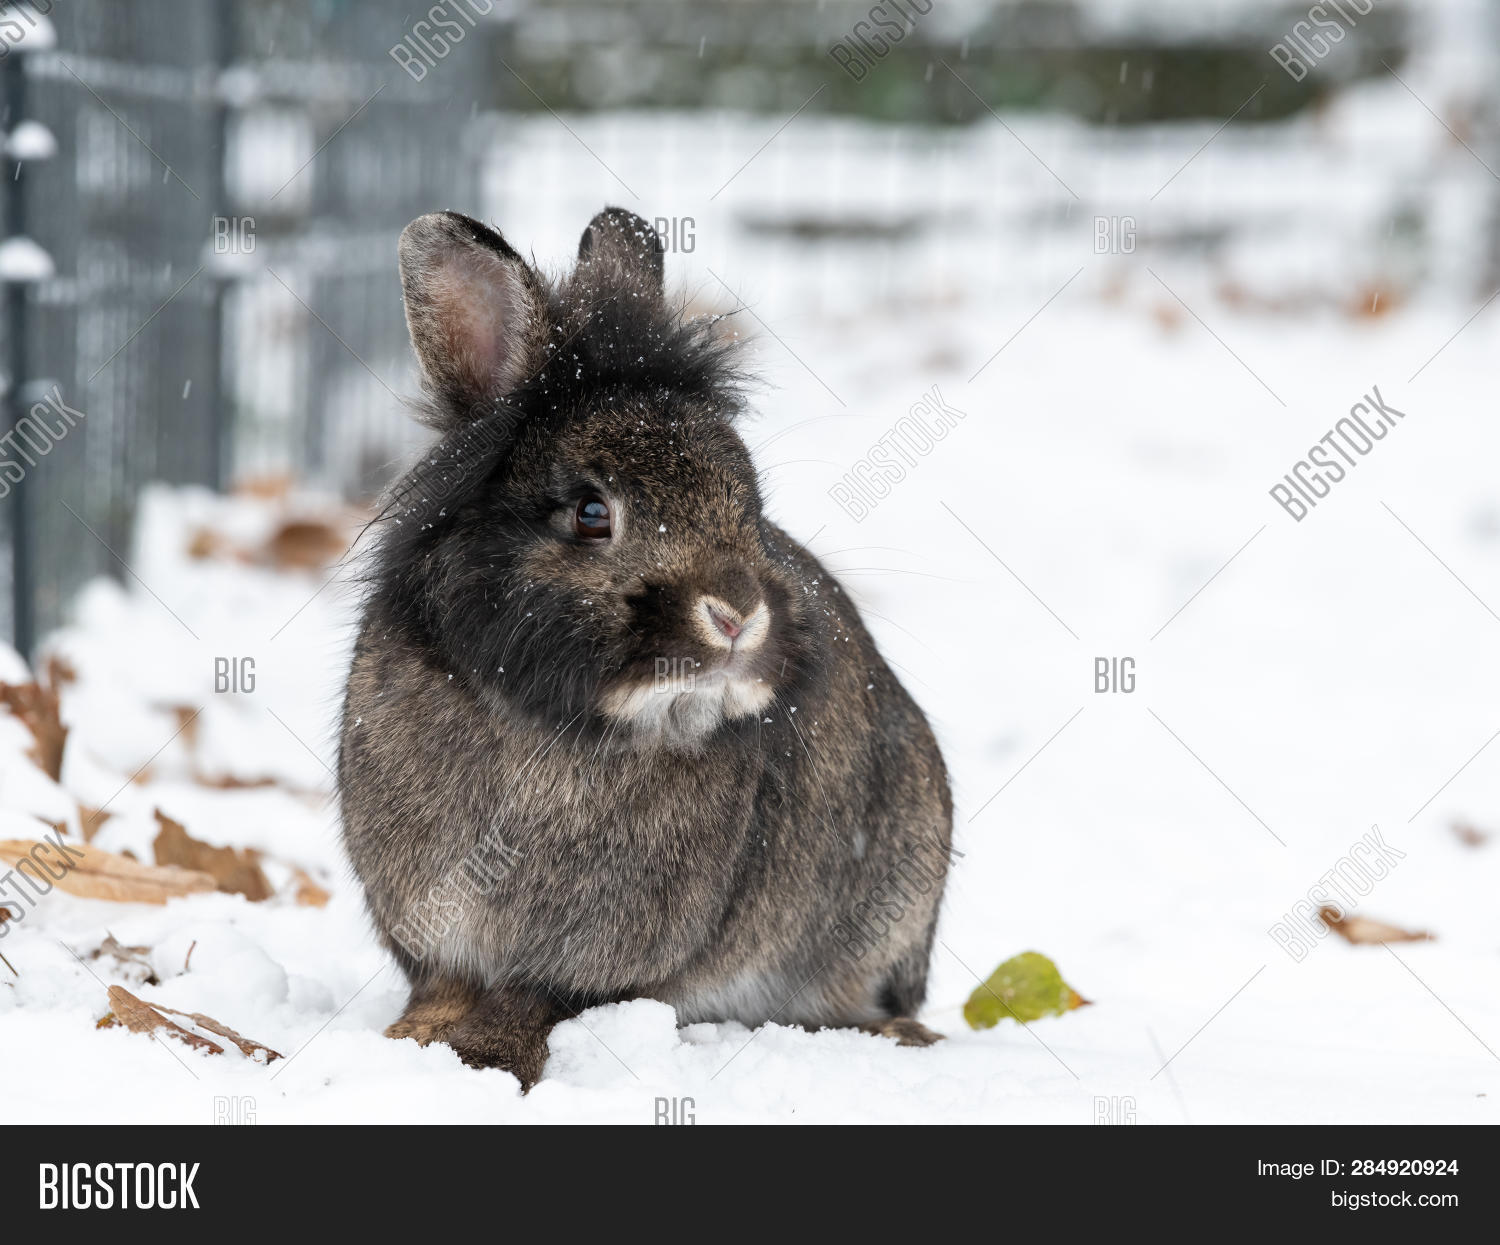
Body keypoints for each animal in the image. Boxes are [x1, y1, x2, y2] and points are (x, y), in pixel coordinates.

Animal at [338, 207, 954, 1089]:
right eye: (592, 512)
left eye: (747, 500)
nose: (738, 615)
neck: (551, 717)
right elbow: (446, 983)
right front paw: (415, 1038)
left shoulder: (594, 954)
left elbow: (535, 996)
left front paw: (486, 1059)